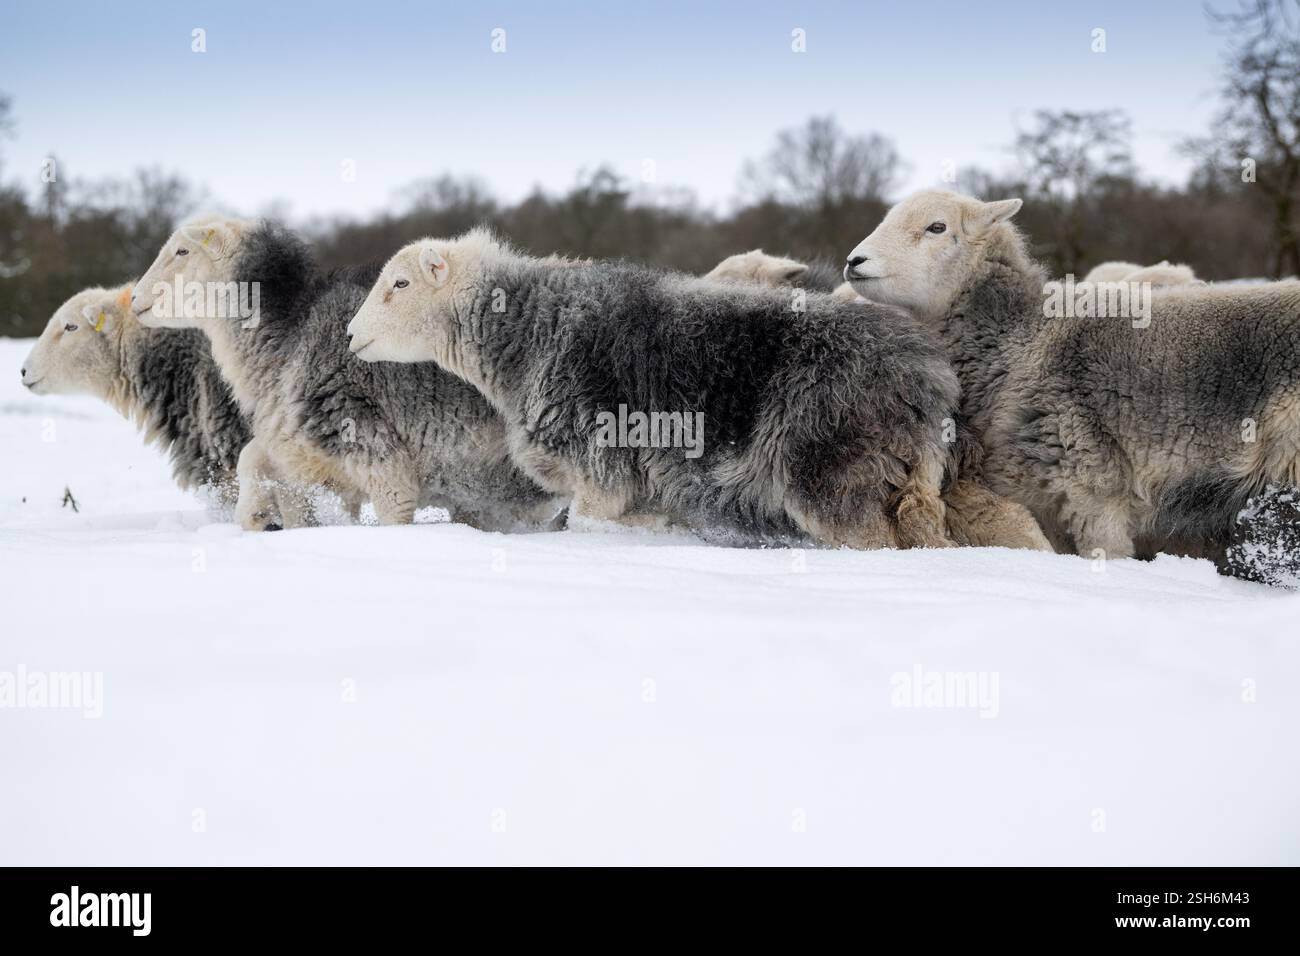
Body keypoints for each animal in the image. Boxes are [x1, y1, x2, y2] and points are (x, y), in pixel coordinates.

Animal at [129, 217, 567, 532]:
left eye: (182, 250)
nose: (133, 298)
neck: (289, 333)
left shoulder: (374, 449)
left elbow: (394, 513)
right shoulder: (302, 453)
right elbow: (253, 458)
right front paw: (256, 515)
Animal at [342, 229, 979, 550]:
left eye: (400, 284)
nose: (350, 335)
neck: (528, 330)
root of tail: (926, 374)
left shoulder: (600, 465)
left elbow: (590, 524)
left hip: (830, 470)